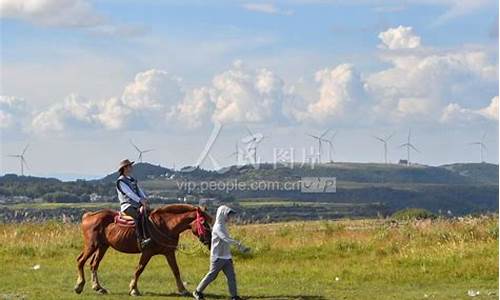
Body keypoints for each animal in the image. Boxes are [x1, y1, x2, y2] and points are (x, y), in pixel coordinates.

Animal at [73, 204, 213, 296]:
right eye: (204, 223)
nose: (210, 241)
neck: (165, 225)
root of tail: (88, 216)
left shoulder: (169, 252)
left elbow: (176, 270)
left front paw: (183, 290)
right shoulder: (147, 252)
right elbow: (139, 269)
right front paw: (134, 289)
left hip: (102, 247)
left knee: (93, 264)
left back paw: (98, 287)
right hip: (92, 245)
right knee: (80, 261)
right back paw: (79, 286)